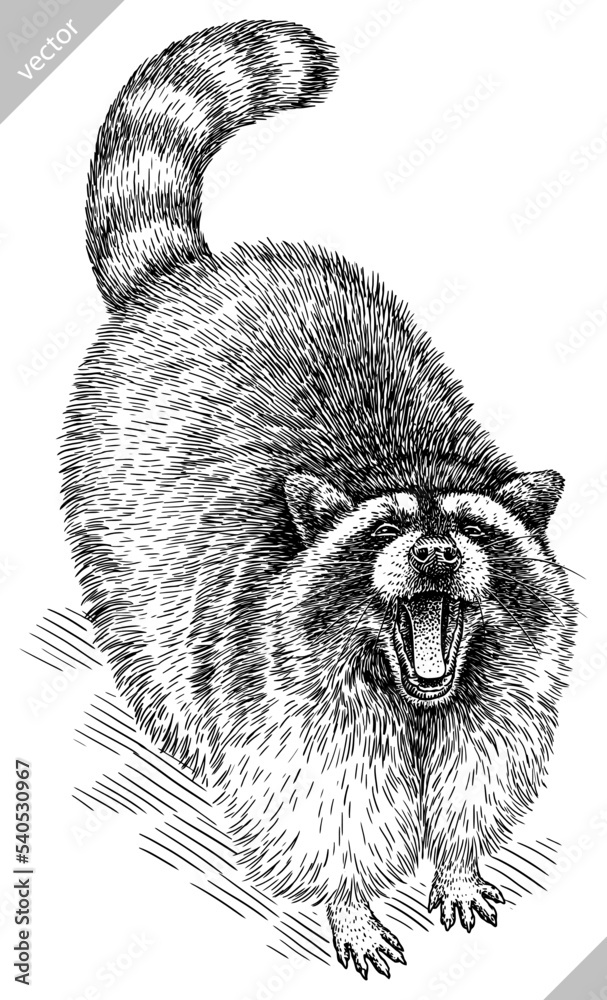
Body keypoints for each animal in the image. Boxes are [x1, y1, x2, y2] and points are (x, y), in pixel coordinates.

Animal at [60, 20, 576, 979]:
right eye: (387, 526)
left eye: (472, 526)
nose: (436, 552)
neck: (416, 700)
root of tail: (188, 275)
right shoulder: (278, 699)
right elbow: (321, 811)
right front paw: (352, 906)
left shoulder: (504, 703)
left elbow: (473, 786)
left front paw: (455, 863)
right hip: (118, 513)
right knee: (152, 644)